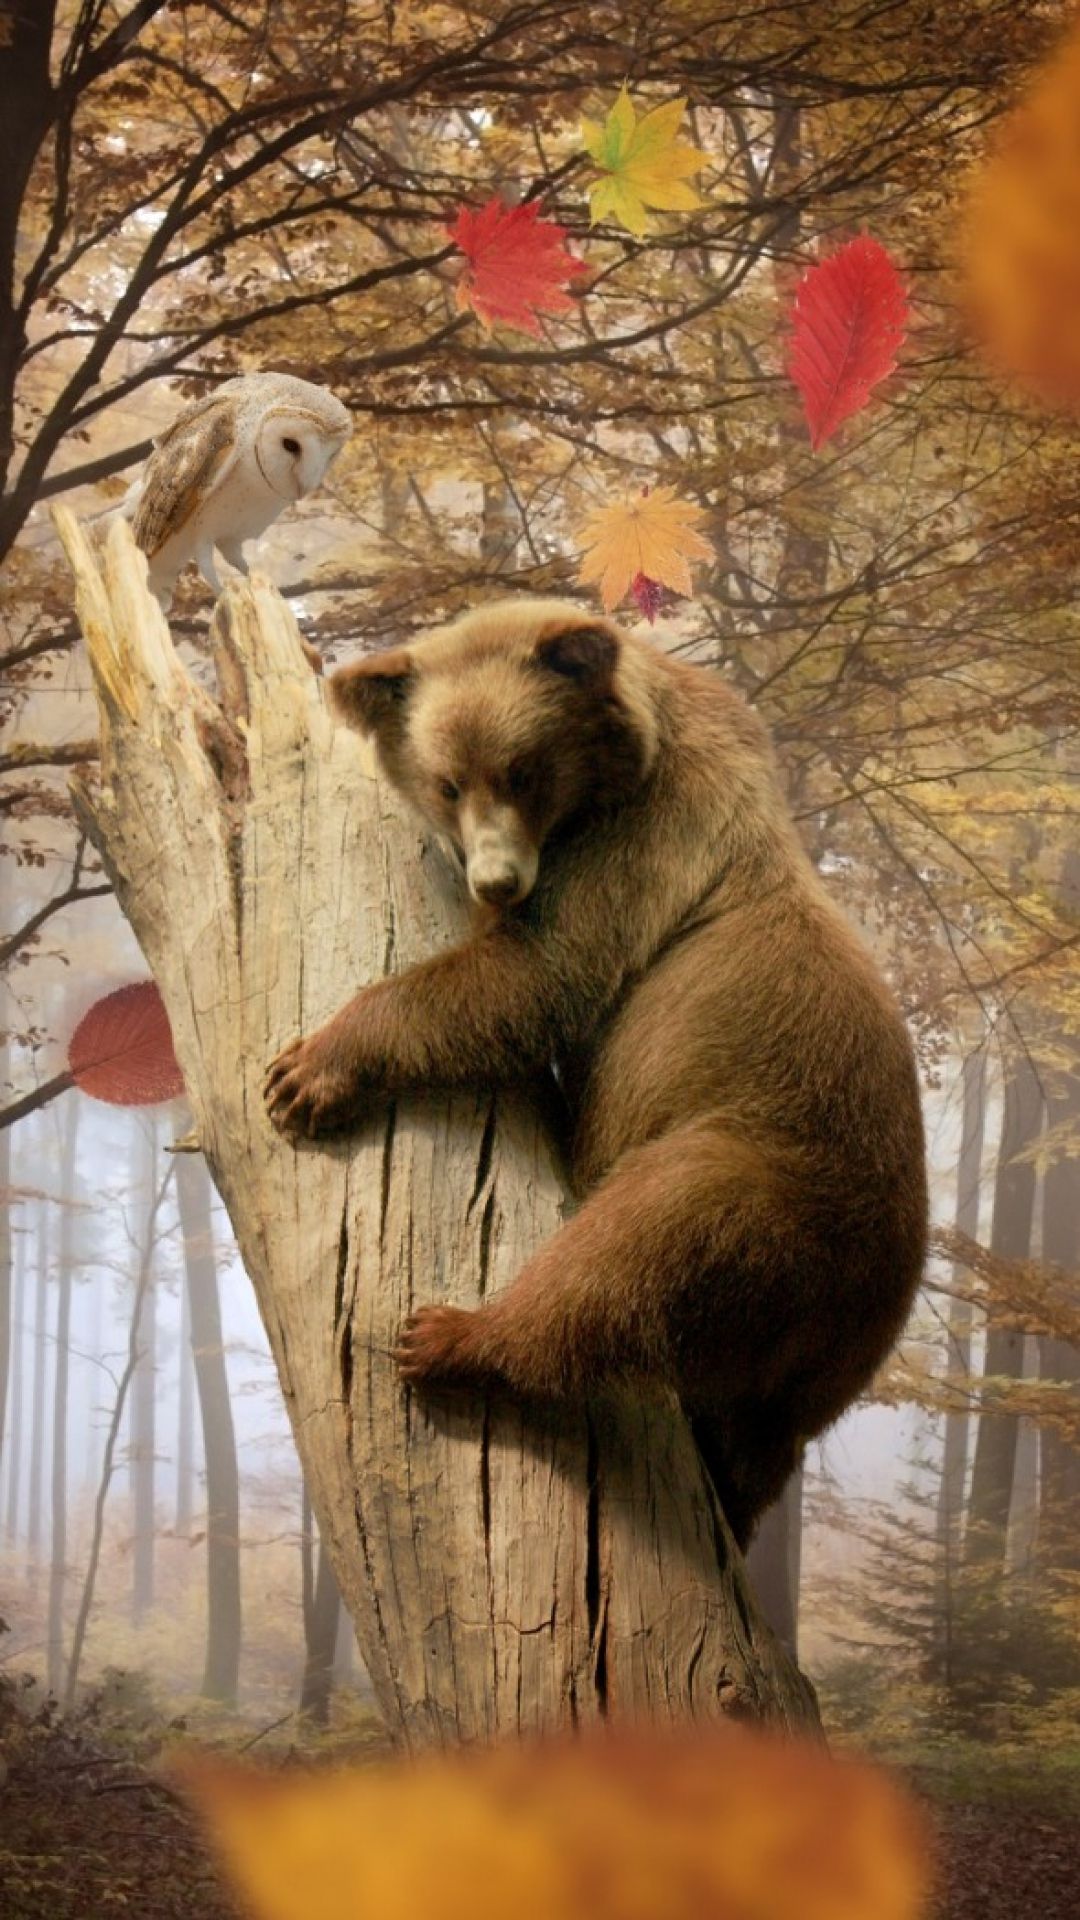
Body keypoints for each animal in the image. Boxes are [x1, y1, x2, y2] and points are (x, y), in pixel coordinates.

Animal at [264, 598, 927, 1548]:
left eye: (522, 770)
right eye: (447, 782)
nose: (496, 880)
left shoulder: (640, 845)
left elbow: (529, 977)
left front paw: (306, 1071)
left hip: (769, 1180)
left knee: (637, 1250)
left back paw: (452, 1336)